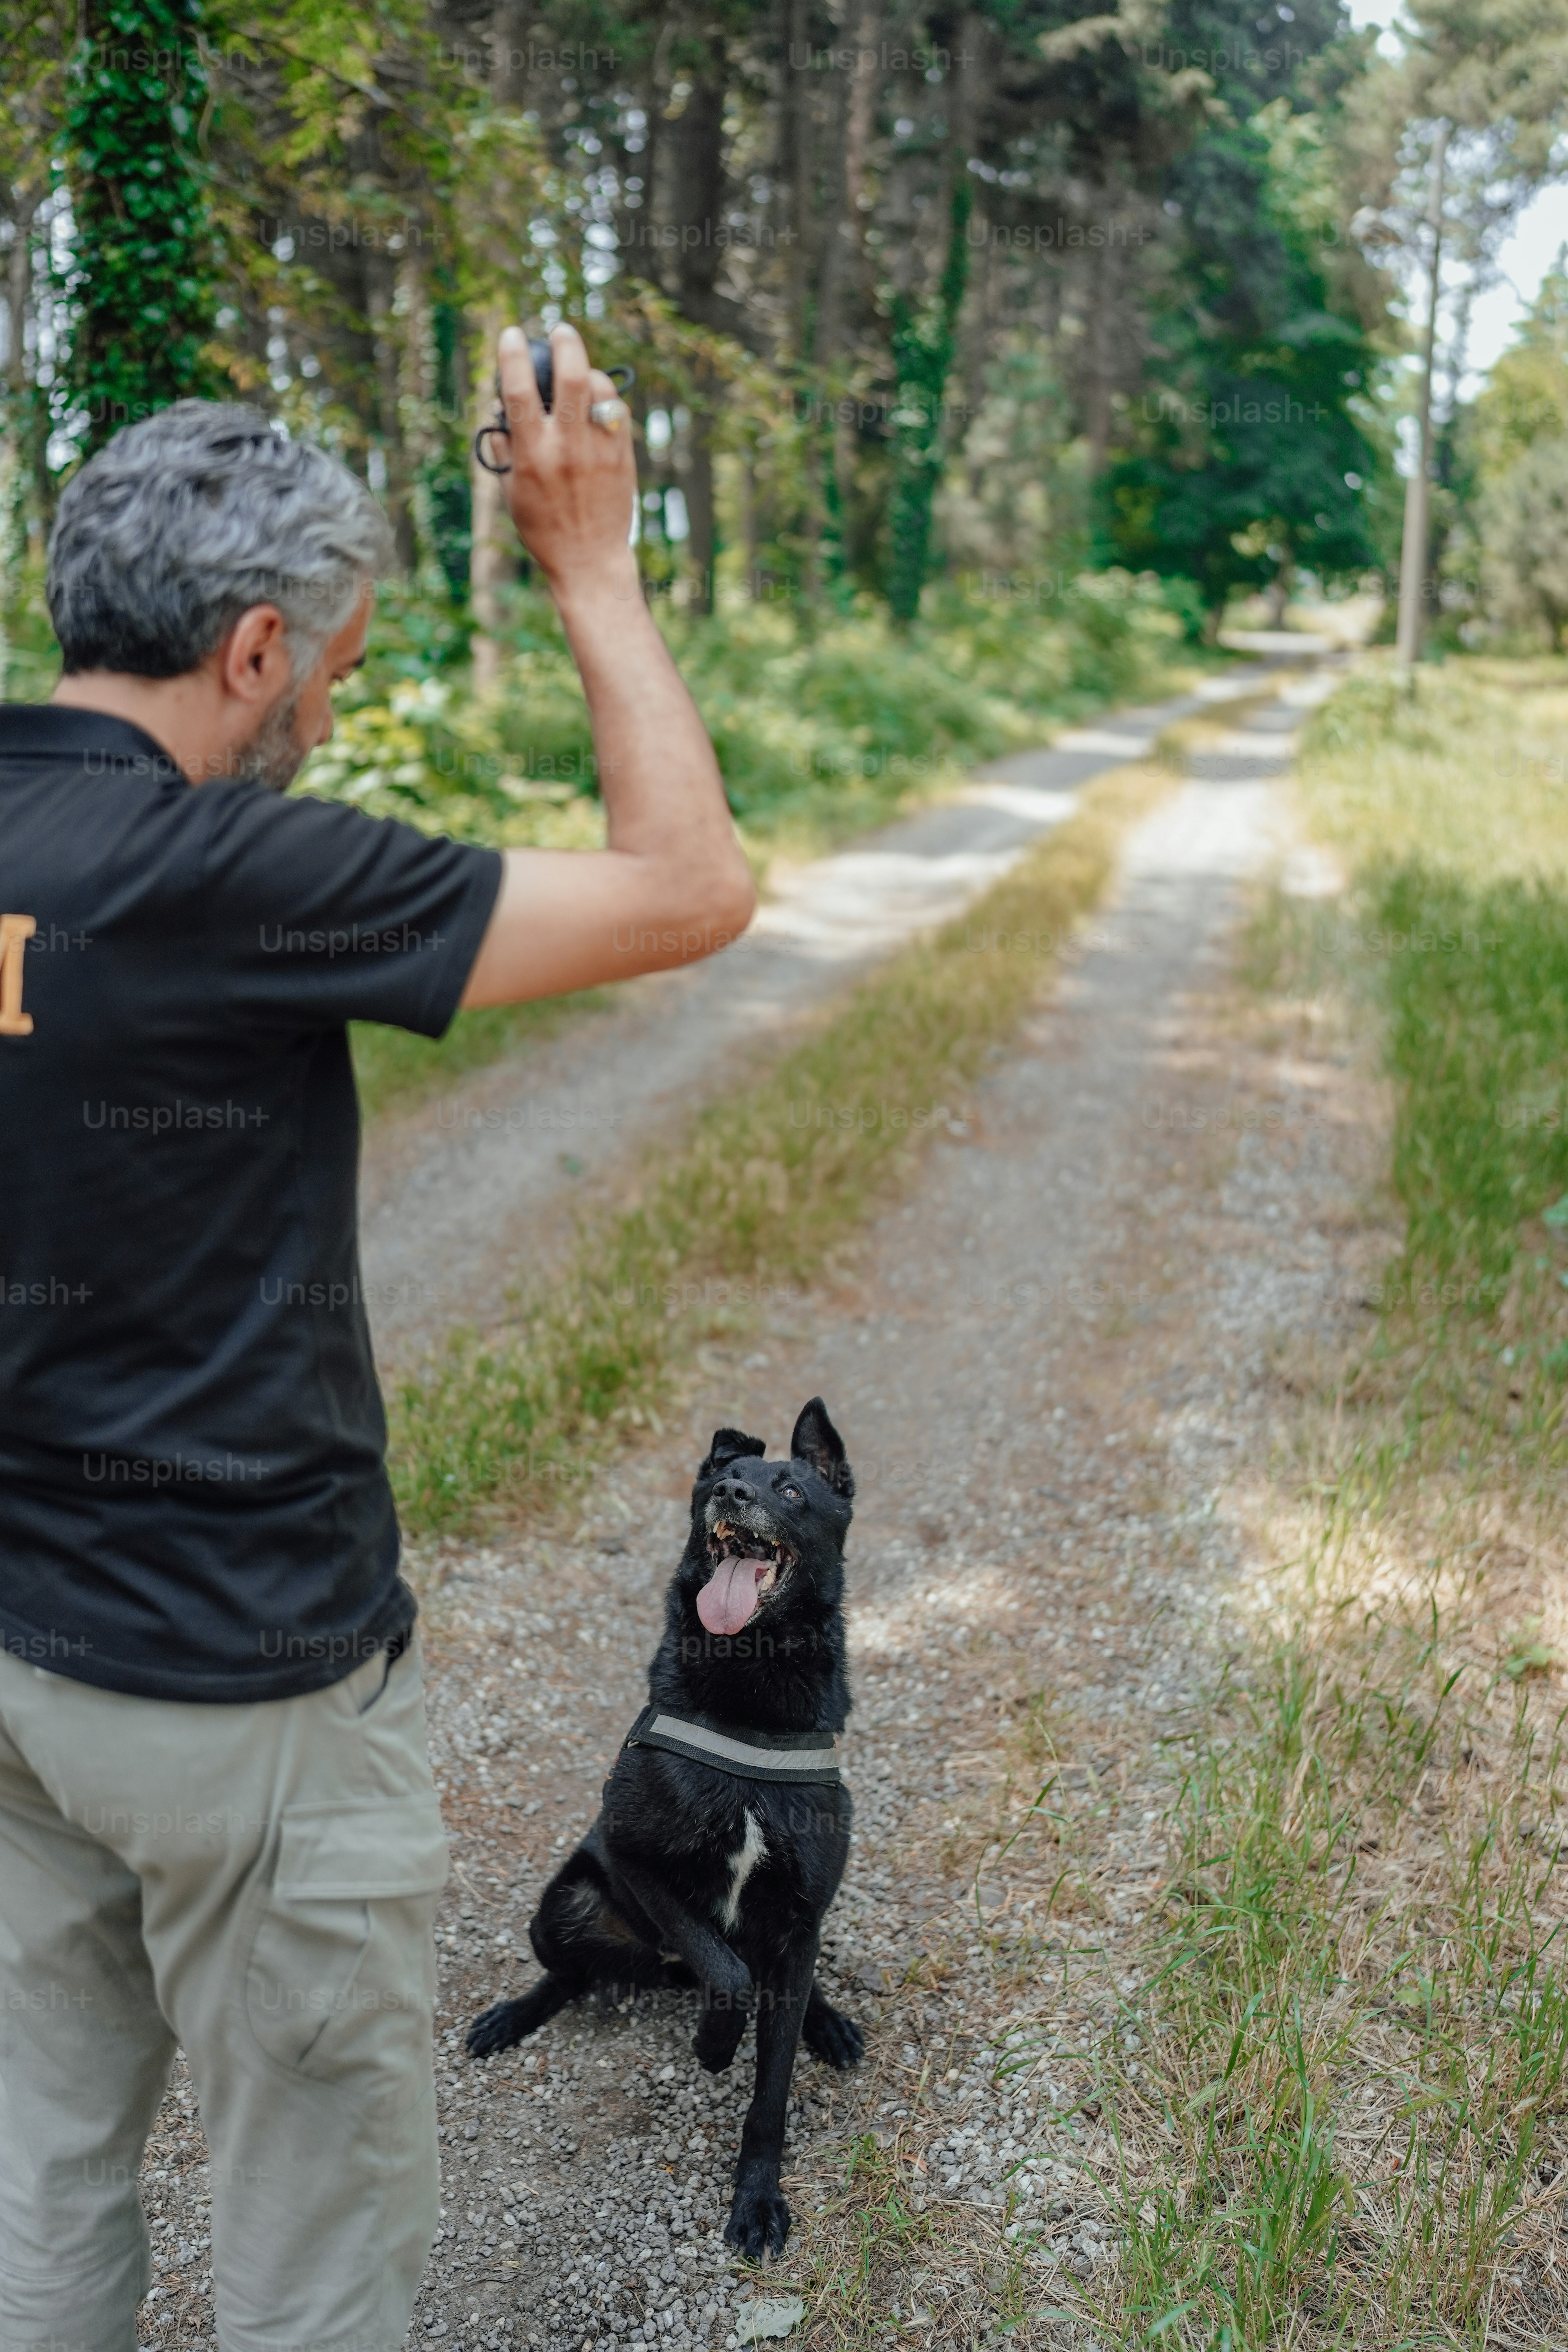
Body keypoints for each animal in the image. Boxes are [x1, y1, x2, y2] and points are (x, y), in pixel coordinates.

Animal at [465, 1392, 865, 2258]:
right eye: (720, 1480)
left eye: (791, 1489)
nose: (733, 1496)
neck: (749, 1688)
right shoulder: (633, 1855)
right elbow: (722, 1966)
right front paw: (714, 2046)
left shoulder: (801, 1908)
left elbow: (770, 2088)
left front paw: (757, 2199)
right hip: (564, 1903)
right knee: (573, 1973)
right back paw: (513, 2016)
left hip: (796, 1929)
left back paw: (826, 2021)